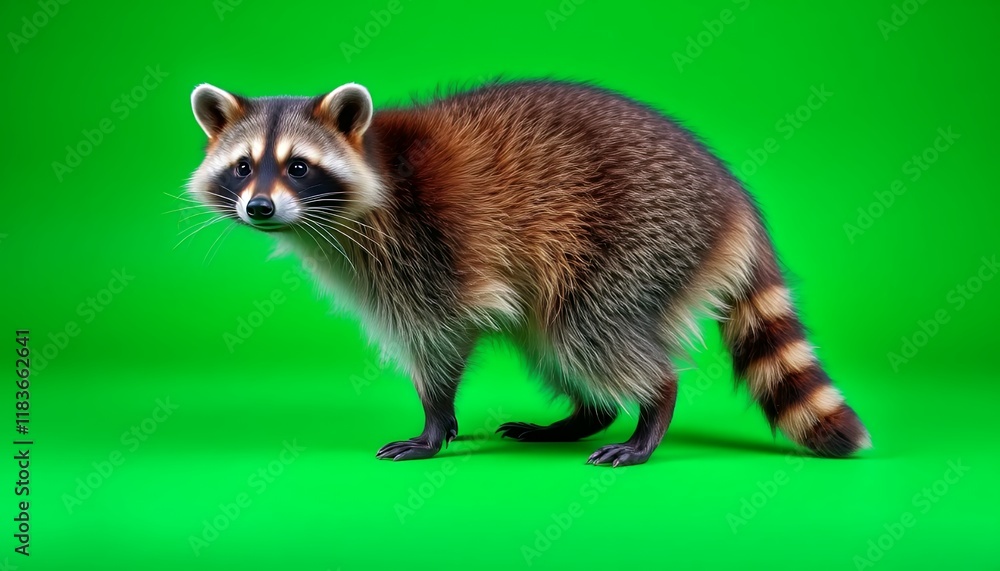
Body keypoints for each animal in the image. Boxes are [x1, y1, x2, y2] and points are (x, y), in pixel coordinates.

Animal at [187, 79, 870, 466]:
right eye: (244, 167)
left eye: (298, 167)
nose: (259, 208)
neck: (373, 158)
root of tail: (733, 198)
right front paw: (444, 422)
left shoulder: (423, 247)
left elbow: (438, 337)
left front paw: (434, 420)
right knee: (552, 340)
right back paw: (585, 416)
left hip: (637, 236)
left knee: (589, 330)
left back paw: (653, 406)